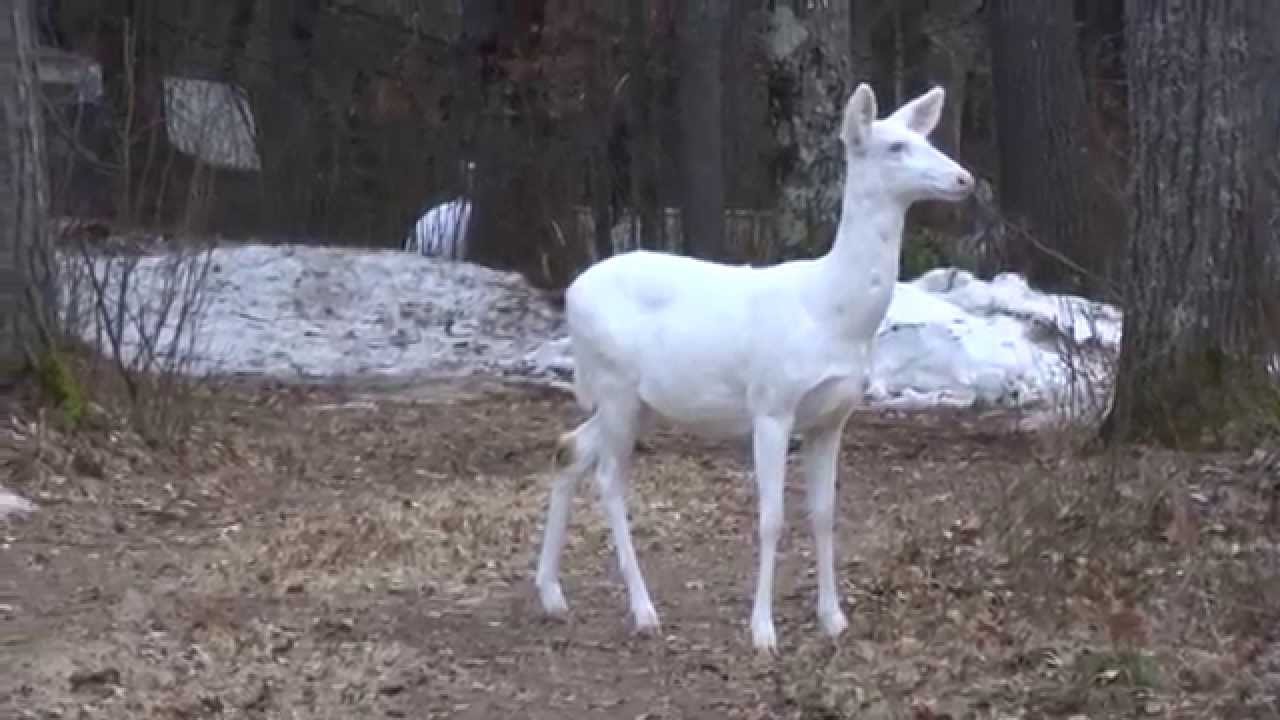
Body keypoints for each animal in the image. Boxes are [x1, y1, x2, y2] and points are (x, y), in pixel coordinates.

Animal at [534, 83, 974, 653]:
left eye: (926, 139)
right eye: (895, 146)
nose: (963, 178)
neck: (831, 311)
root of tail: (570, 292)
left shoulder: (832, 416)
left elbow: (824, 514)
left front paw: (833, 618)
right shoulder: (771, 404)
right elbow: (771, 517)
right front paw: (763, 630)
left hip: (643, 400)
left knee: (568, 448)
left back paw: (551, 595)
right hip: (614, 384)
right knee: (609, 478)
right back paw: (644, 610)